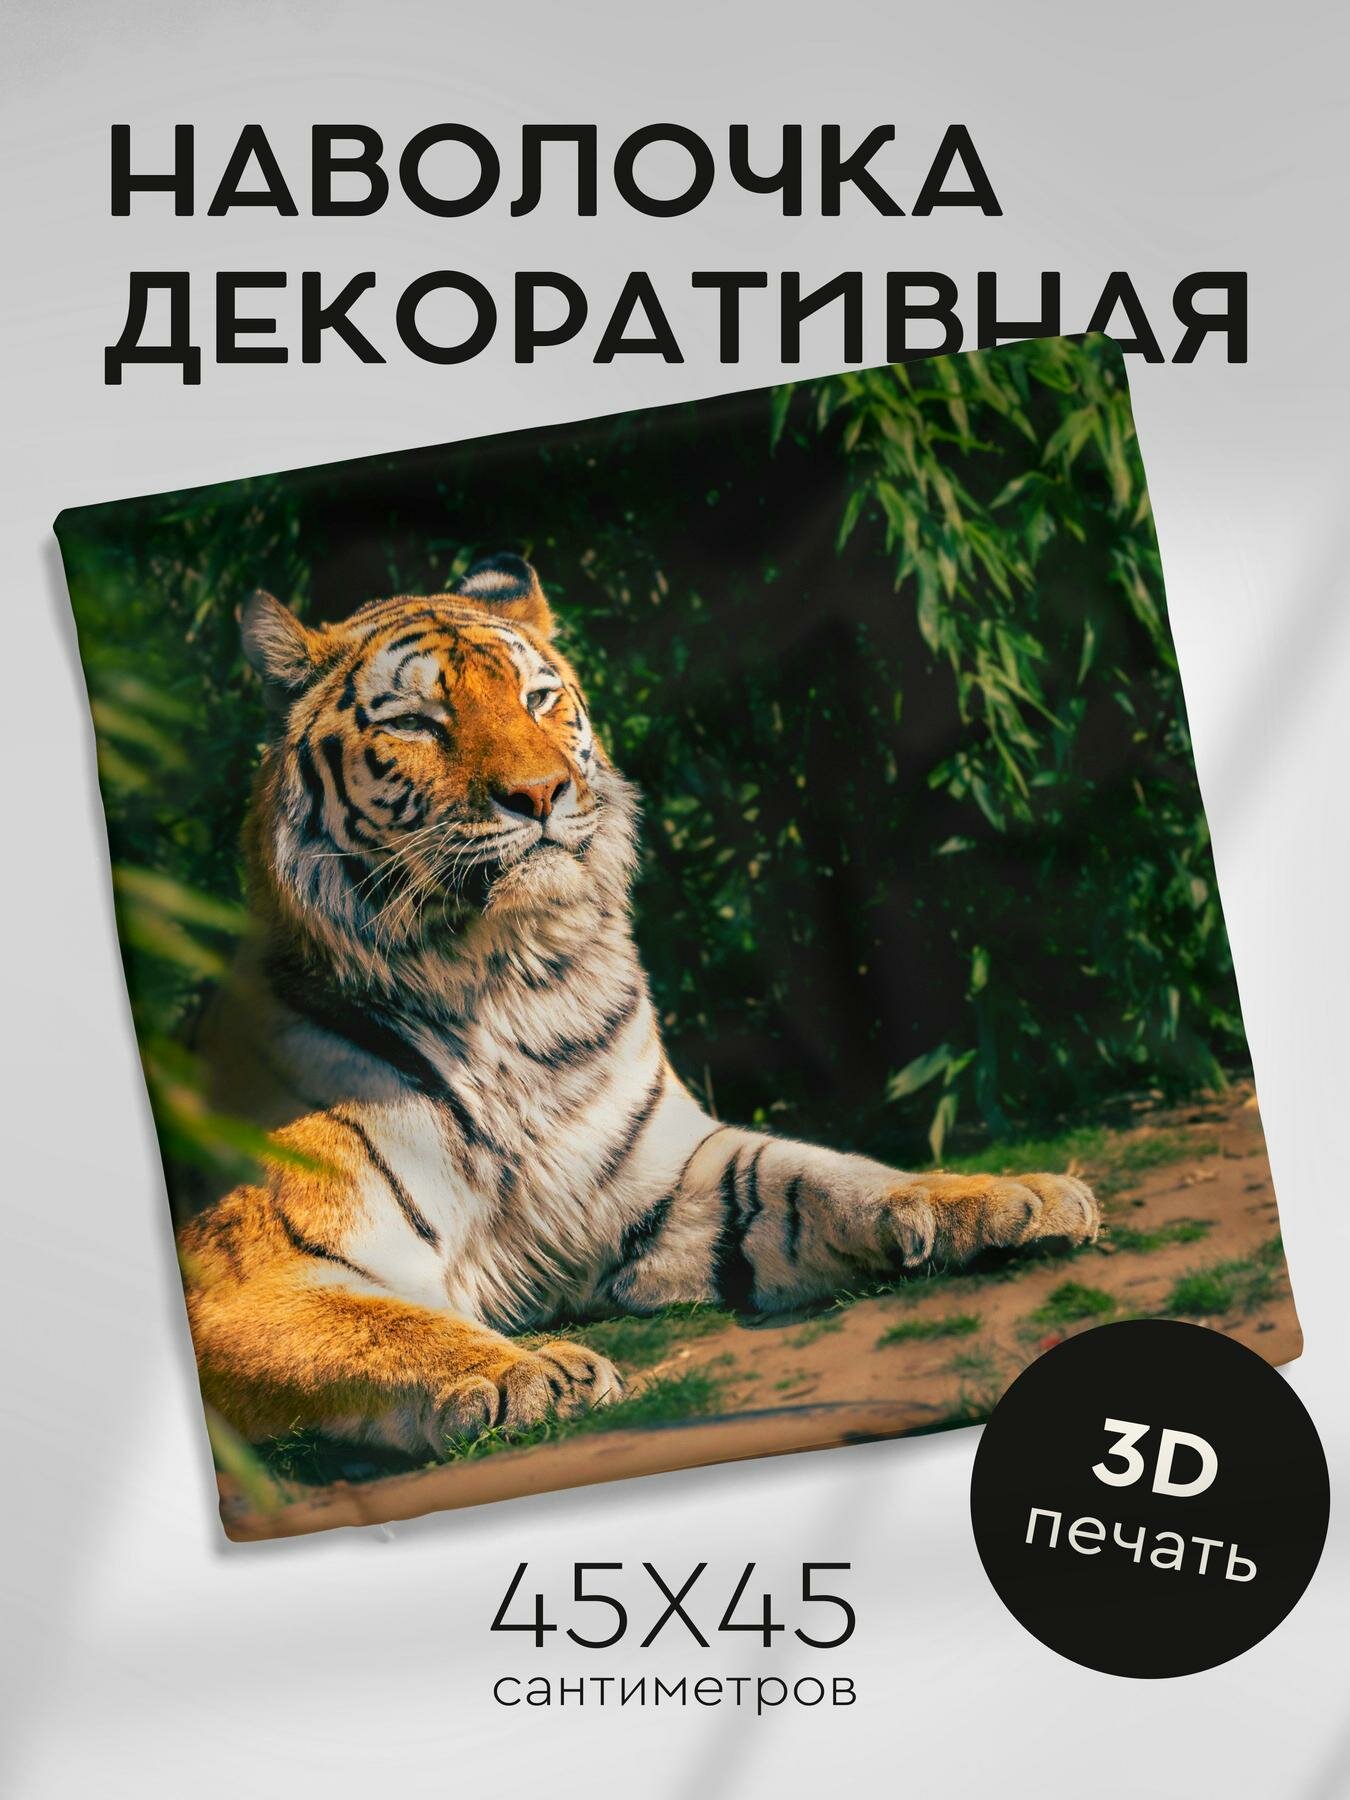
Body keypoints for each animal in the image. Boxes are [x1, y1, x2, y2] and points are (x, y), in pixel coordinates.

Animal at [180, 554, 1100, 1454]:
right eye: (414, 723)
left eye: (537, 699)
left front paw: (1008, 1196)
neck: (502, 980)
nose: (539, 794)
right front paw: (529, 1373)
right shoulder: (251, 1276)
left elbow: (830, 1176)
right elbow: (385, 1325)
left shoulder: (670, 1176)